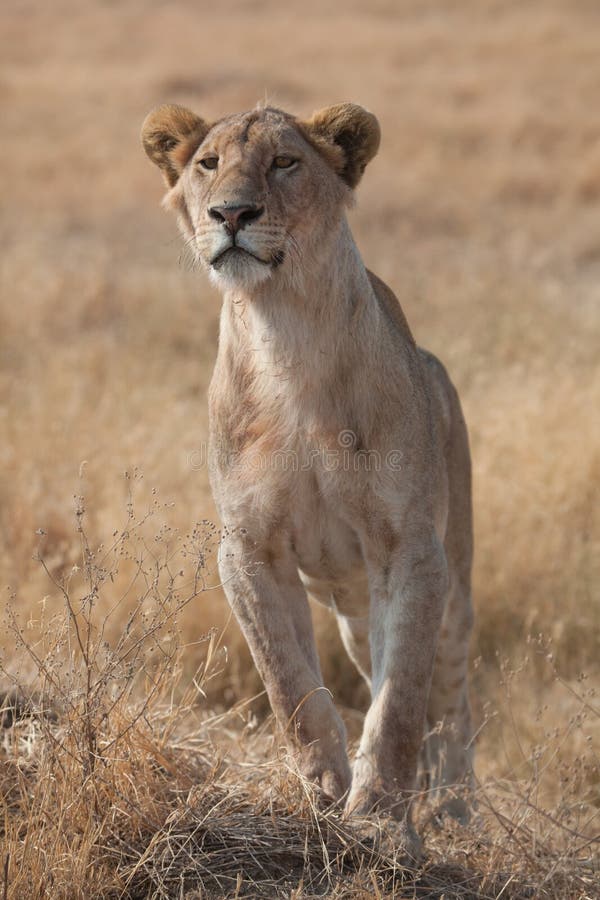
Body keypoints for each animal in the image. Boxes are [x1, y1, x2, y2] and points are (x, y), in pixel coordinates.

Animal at [142, 102, 474, 853]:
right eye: (208, 164)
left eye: (284, 163)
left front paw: (380, 818)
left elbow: (401, 703)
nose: (232, 212)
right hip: (353, 615)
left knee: (450, 695)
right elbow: (289, 685)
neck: (283, 331)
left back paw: (456, 810)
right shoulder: (248, 549)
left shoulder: (411, 549)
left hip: (454, 580)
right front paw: (324, 792)